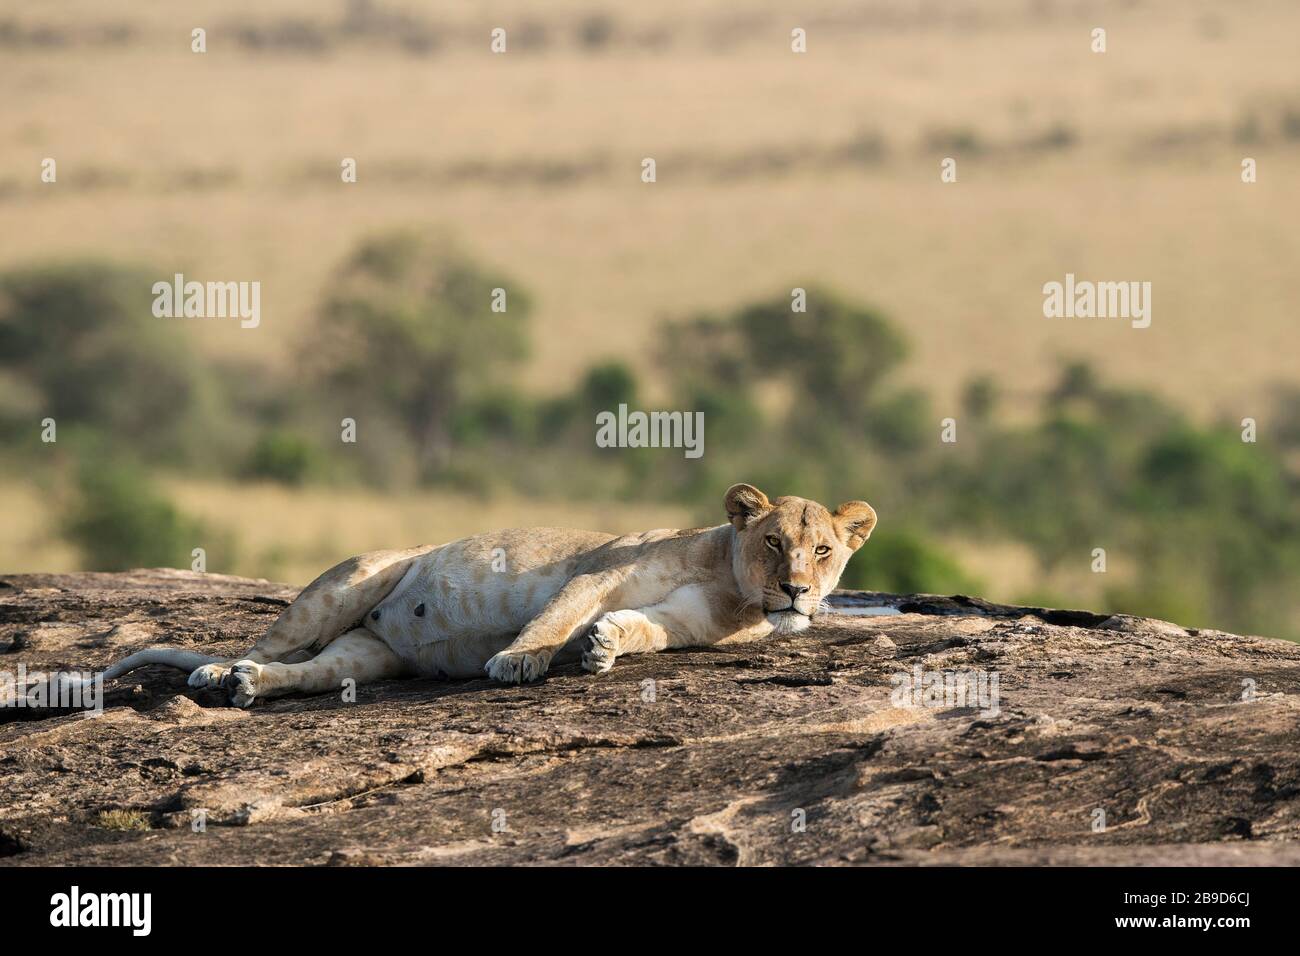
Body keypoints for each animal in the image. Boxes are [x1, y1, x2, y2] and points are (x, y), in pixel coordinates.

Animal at [95, 484, 876, 706]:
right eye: (774, 542)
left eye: (824, 551)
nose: (797, 592)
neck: (732, 588)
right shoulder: (597, 572)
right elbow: (556, 615)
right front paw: (519, 661)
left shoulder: (681, 621)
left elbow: (638, 629)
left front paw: (602, 647)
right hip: (346, 583)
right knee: (269, 641)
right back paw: (217, 671)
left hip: (367, 656)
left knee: (311, 671)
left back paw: (252, 685)